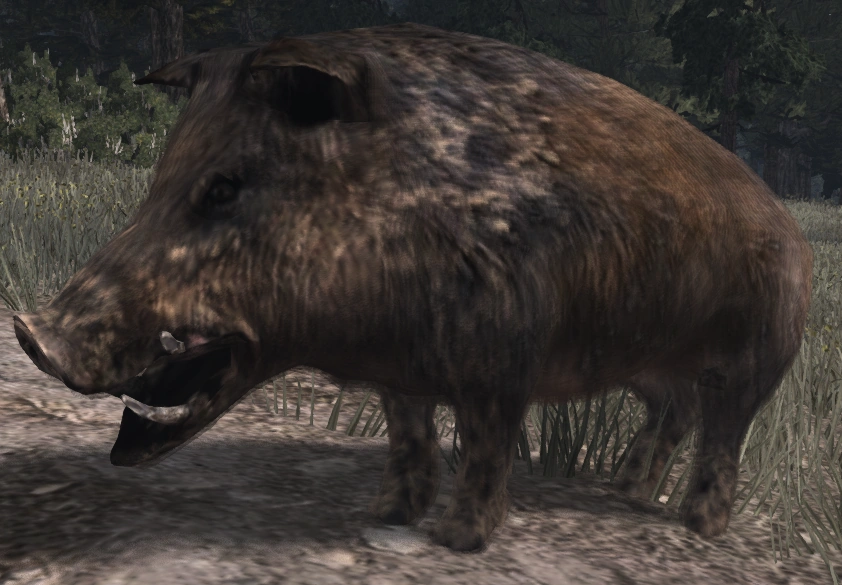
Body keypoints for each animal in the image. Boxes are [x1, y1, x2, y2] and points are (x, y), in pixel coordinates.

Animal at [13, 22, 813, 552]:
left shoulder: (506, 357)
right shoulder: (403, 369)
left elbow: (486, 445)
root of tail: (791, 224)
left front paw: (457, 542)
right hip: (650, 366)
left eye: (224, 187)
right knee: (672, 414)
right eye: (160, 179)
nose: (34, 332)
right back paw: (622, 491)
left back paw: (697, 527)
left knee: (722, 431)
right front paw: (386, 516)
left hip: (757, 355)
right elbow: (409, 434)